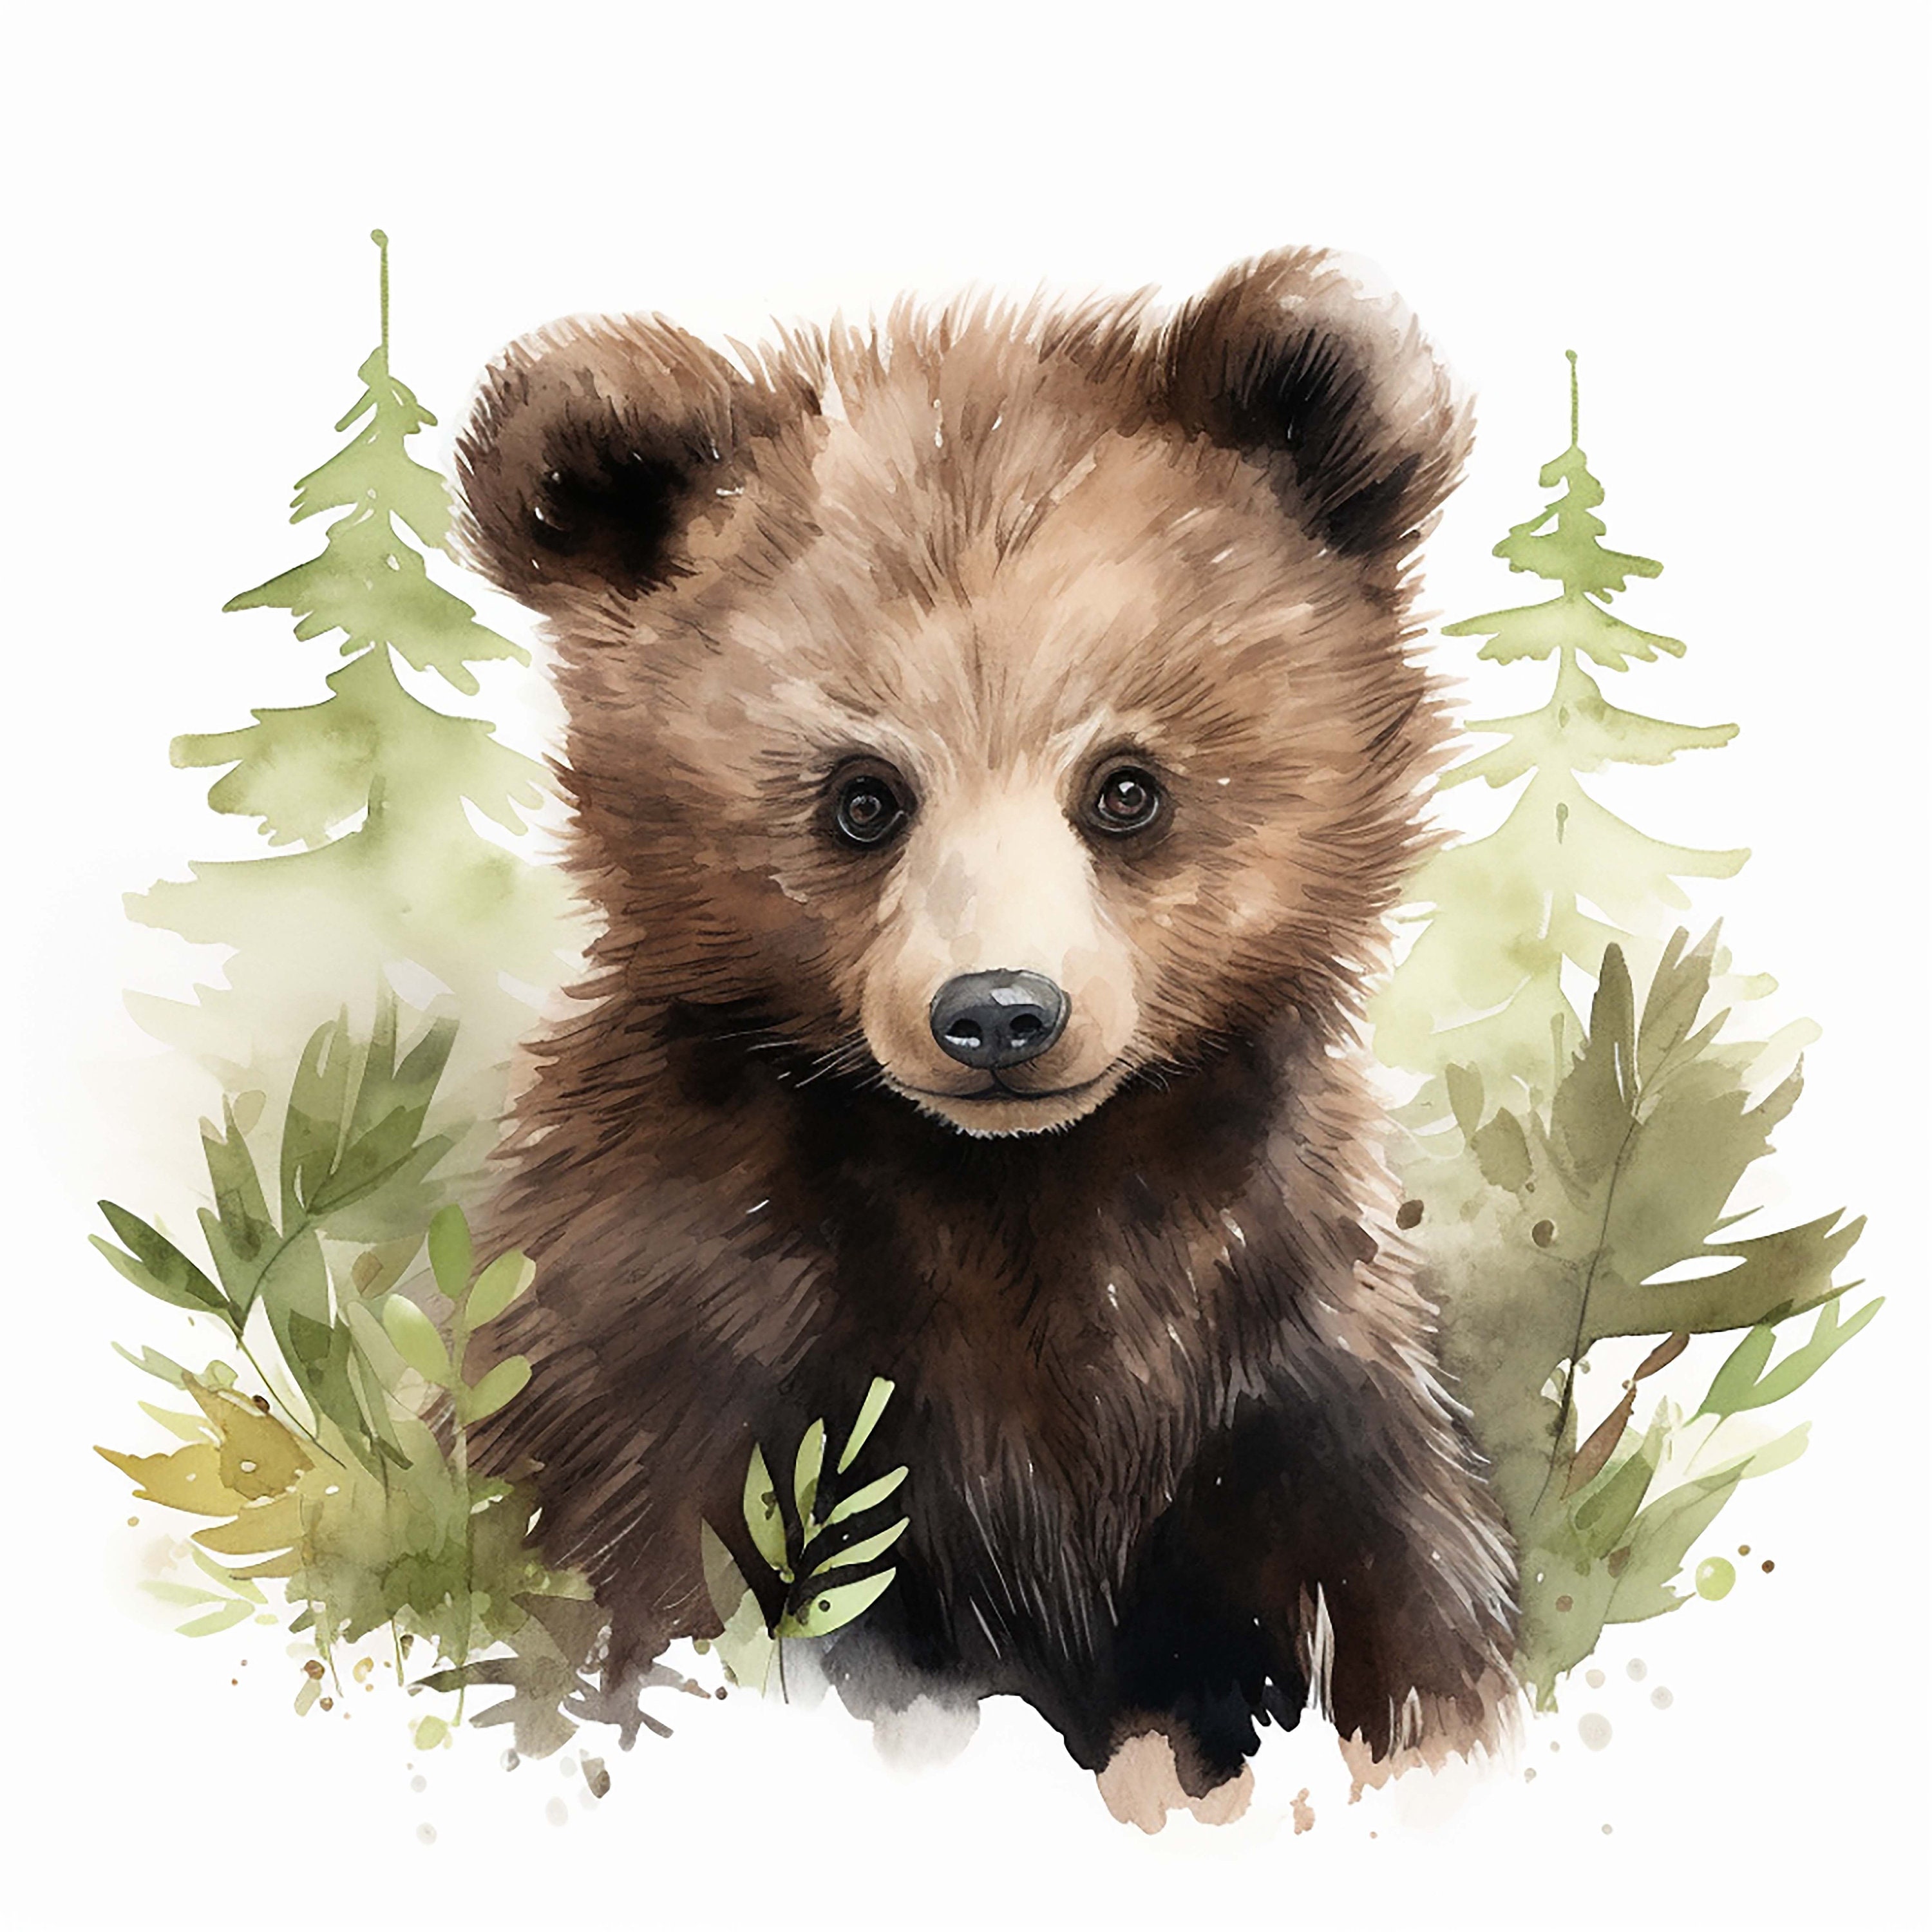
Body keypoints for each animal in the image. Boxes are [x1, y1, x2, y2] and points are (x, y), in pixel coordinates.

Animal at [453, 247, 1517, 1825]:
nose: (1000, 1013)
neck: (1015, 1200)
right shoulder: (687, 1337)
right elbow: (617, 1591)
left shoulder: (1273, 1346)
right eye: (862, 794)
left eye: (1127, 785)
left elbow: (1405, 1596)